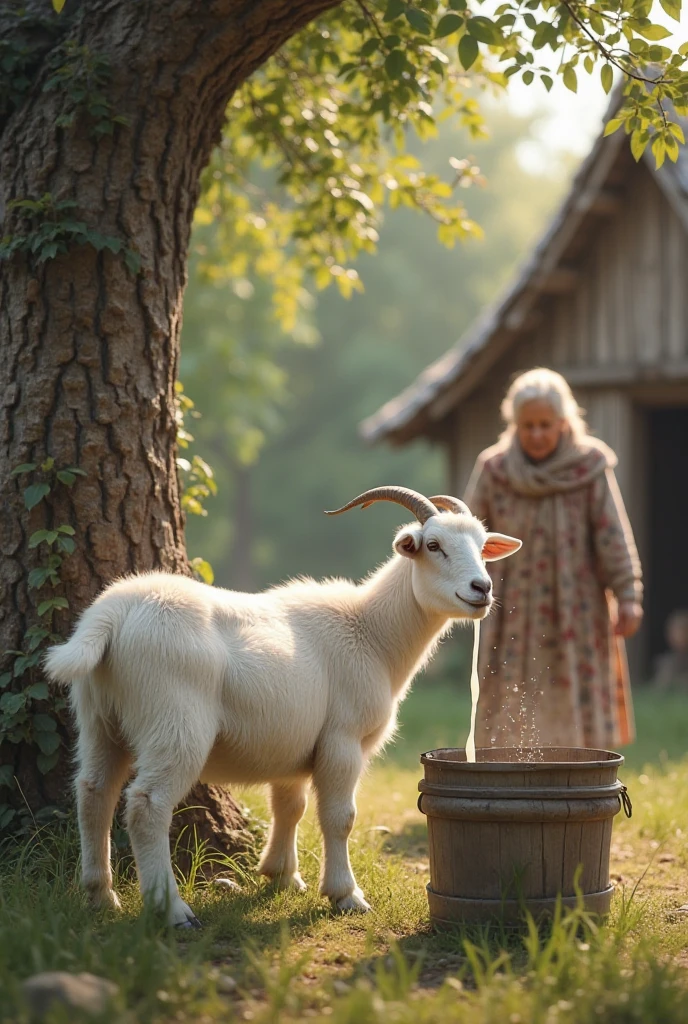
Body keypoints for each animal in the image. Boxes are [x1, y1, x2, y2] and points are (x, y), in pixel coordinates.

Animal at [45, 486, 521, 927]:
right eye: (434, 545)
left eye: (482, 547)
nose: (482, 588)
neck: (371, 632)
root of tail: (113, 614)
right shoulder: (343, 738)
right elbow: (340, 817)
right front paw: (345, 894)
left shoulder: (293, 742)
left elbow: (290, 806)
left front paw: (283, 876)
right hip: (174, 720)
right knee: (146, 805)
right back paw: (172, 910)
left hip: (99, 719)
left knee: (93, 792)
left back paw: (101, 896)